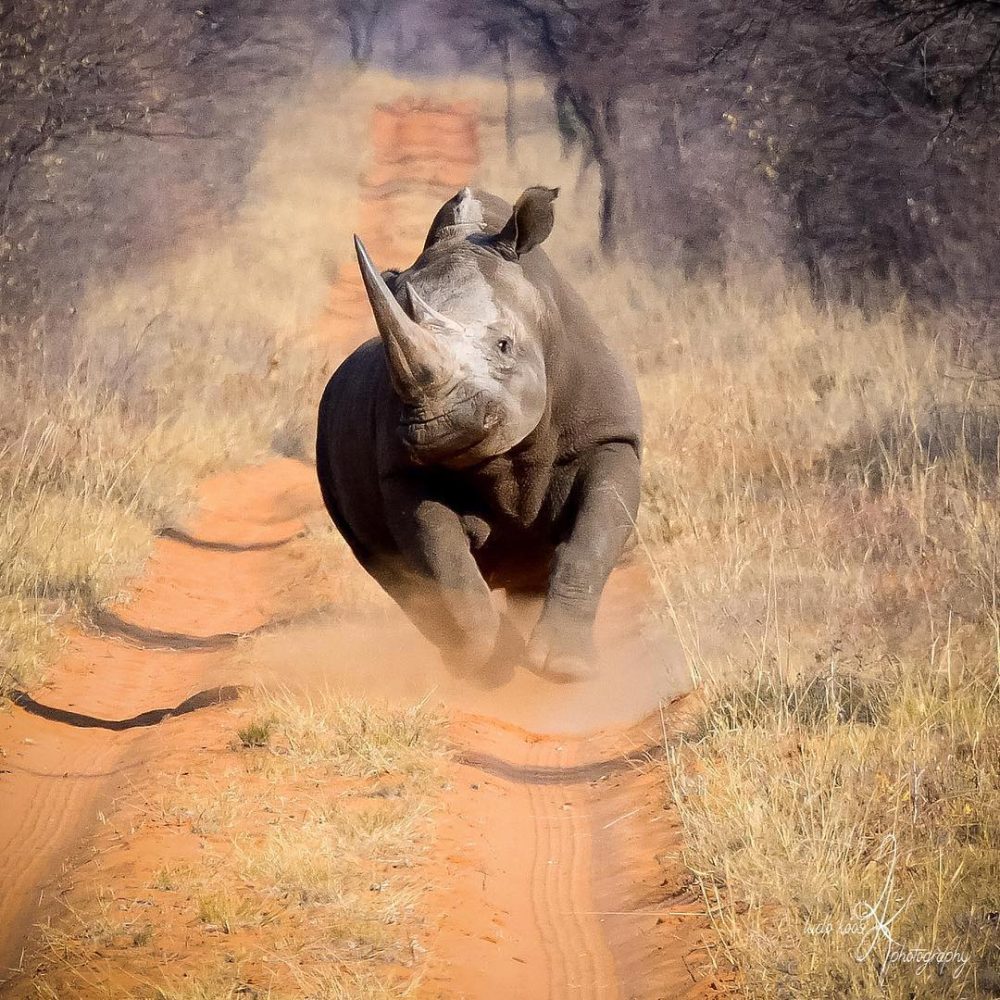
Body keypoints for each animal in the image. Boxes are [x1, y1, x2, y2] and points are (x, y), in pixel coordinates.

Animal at [316, 186, 642, 682]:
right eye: (393, 378)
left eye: (505, 346)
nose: (437, 426)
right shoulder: (405, 473)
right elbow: (445, 565)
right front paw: (488, 665)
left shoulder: (610, 437)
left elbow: (594, 536)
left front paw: (563, 666)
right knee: (398, 578)